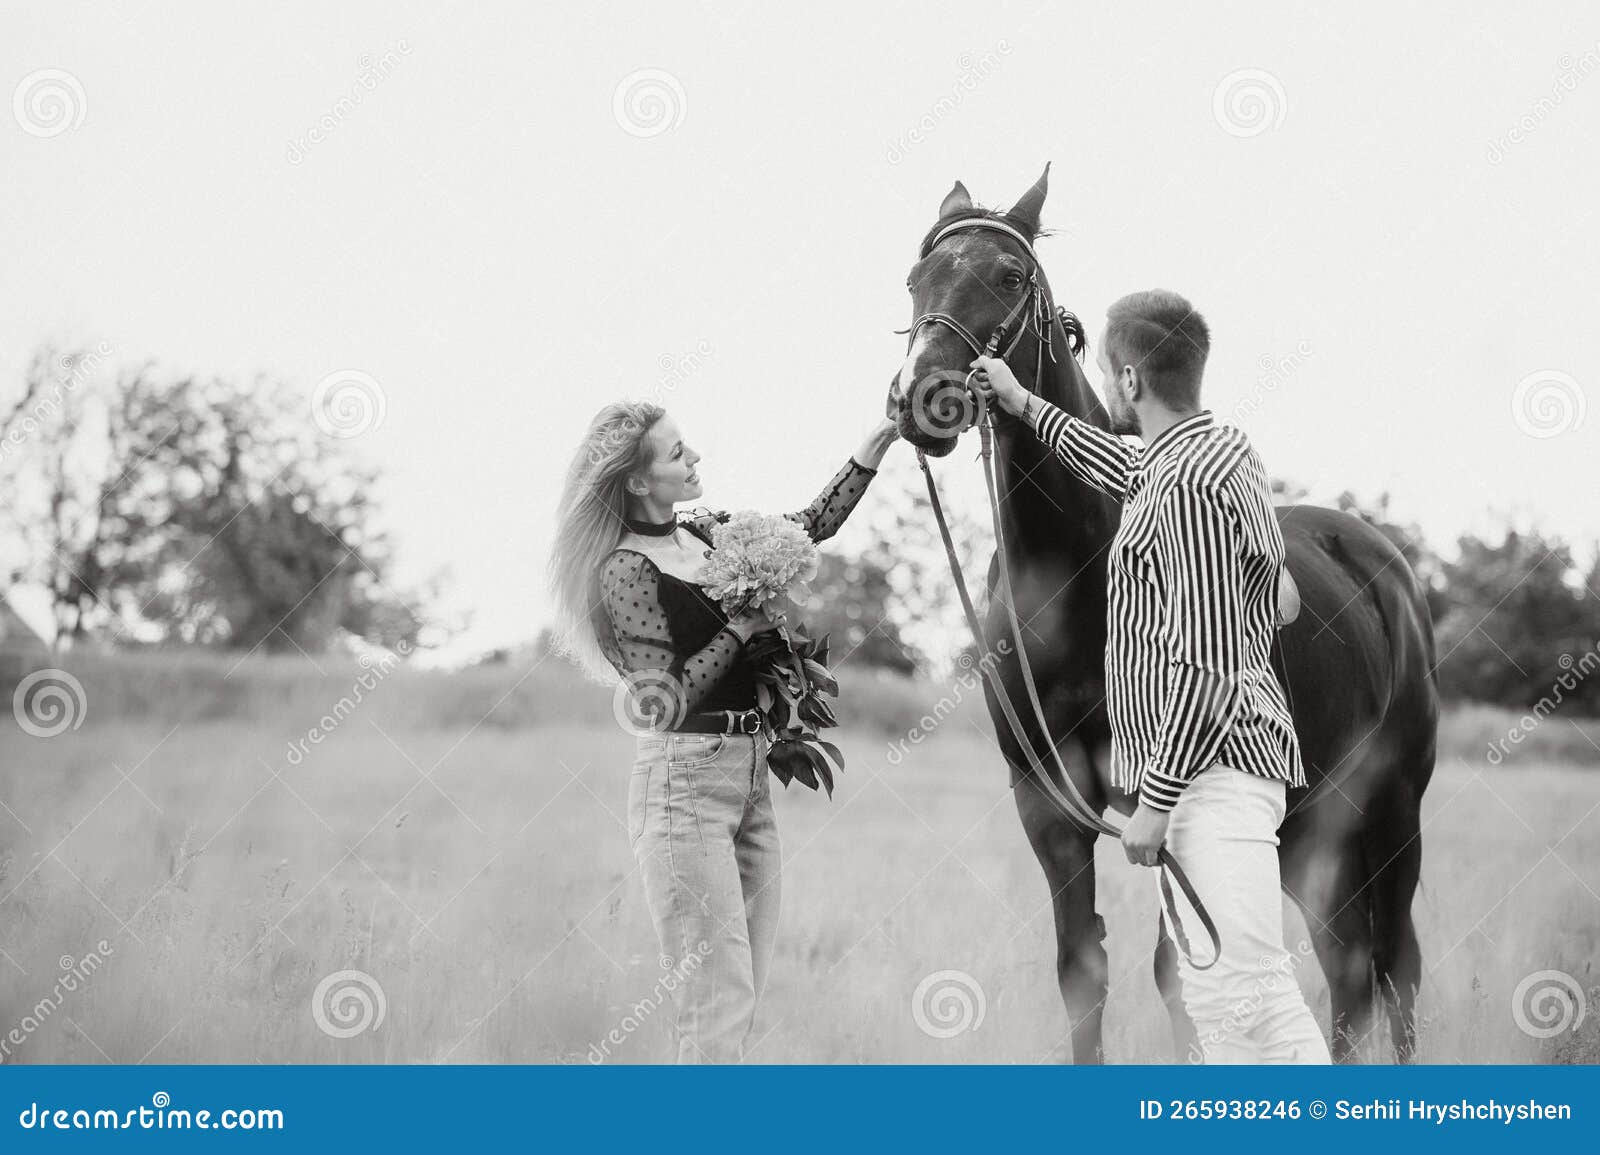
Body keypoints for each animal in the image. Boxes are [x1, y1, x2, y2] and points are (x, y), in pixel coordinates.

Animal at [888, 166, 1439, 1063]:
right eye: (916, 279)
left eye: (1009, 276)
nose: (922, 398)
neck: (1078, 581)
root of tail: (1385, 567)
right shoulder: (1049, 802)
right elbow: (1083, 967)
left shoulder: (1170, 798)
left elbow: (1179, 976)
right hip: (1309, 827)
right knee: (1350, 961)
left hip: (1390, 817)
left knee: (1395, 965)